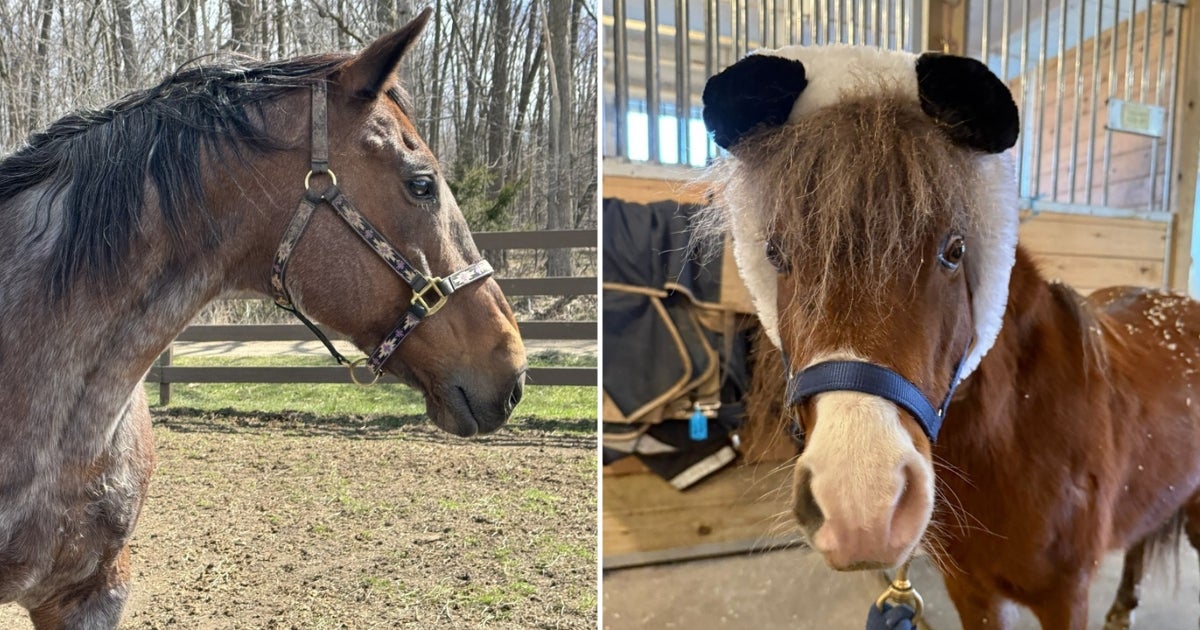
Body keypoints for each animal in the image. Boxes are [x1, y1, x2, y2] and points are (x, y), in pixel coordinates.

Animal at [700, 46, 1200, 629]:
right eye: (776, 253)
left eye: (954, 250)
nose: (862, 505)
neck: (1019, 435)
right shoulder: (973, 592)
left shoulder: (1066, 596)